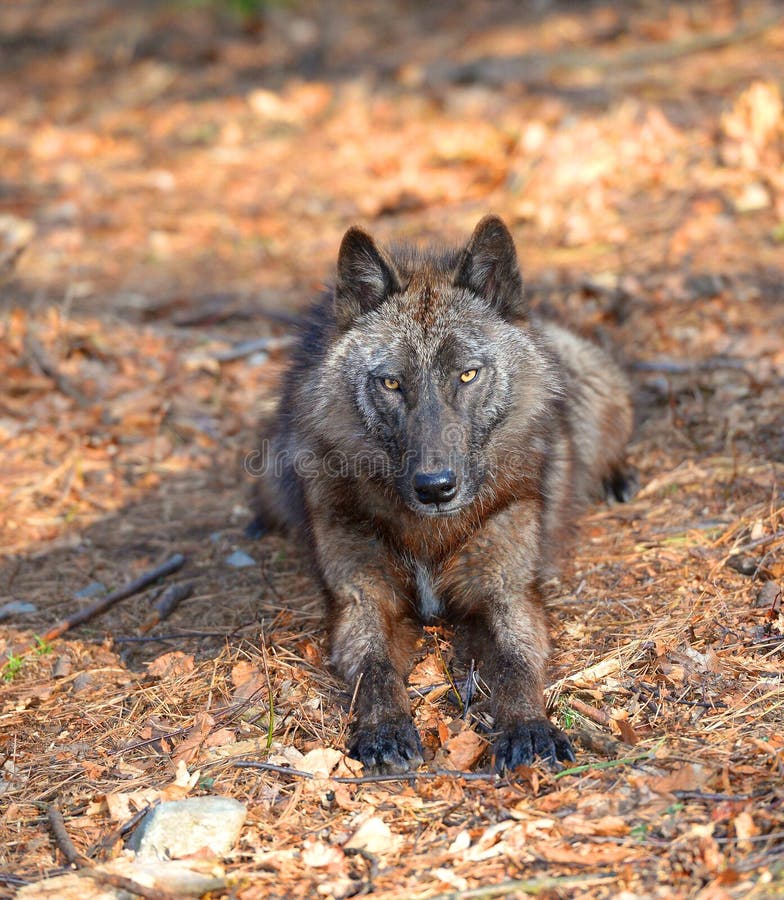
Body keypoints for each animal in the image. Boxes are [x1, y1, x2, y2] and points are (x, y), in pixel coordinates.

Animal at [251, 215, 635, 773]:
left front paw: (527, 726)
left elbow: (516, 663)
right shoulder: (362, 600)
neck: (430, 533)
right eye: (392, 383)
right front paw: (385, 729)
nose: (435, 487)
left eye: (467, 374)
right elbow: (374, 668)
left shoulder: (507, 593)